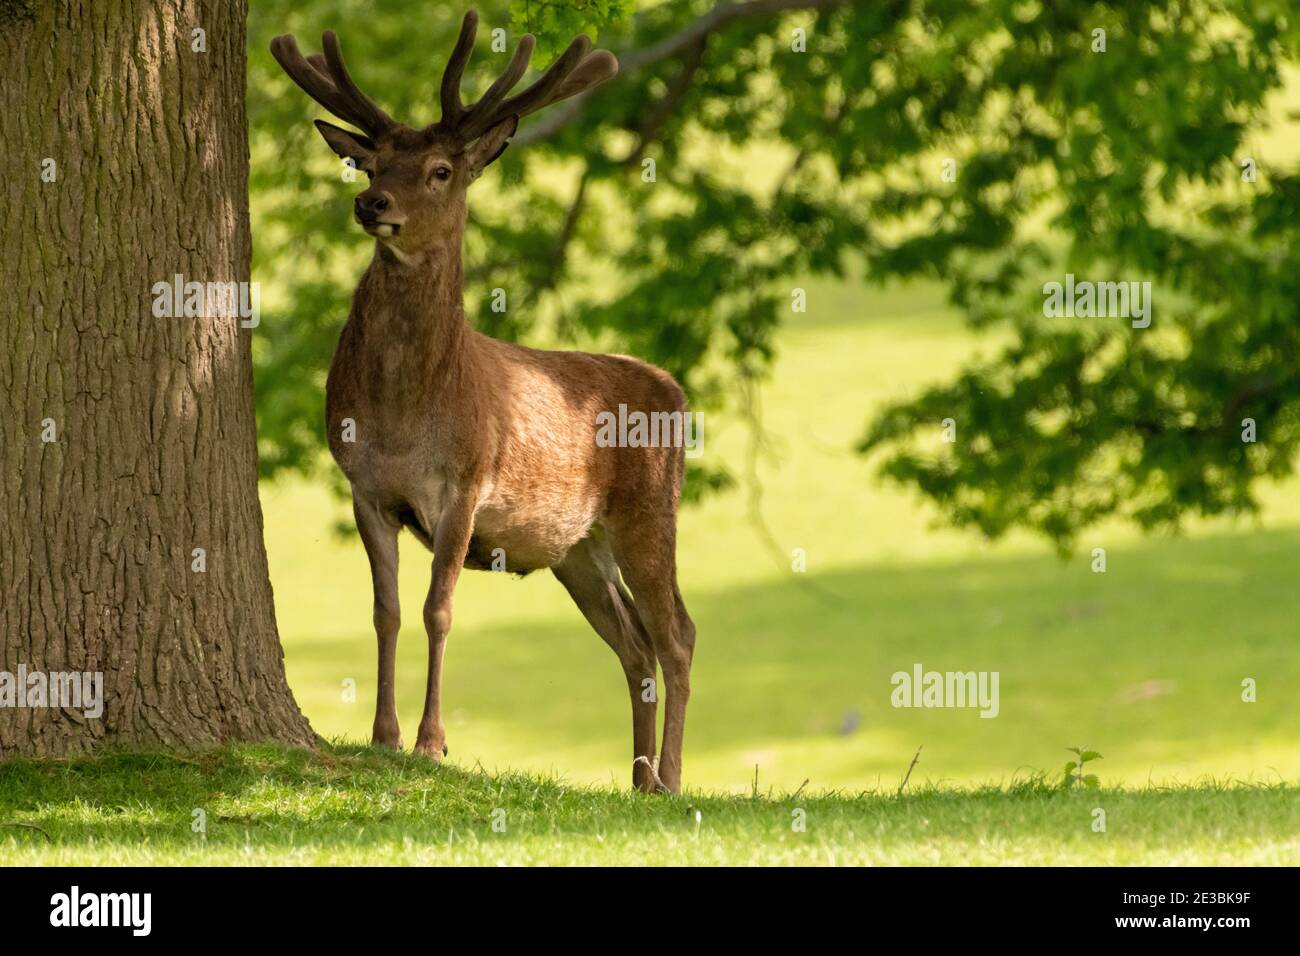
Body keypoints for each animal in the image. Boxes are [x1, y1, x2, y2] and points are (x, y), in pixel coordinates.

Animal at [270, 10, 696, 793]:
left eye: (440, 170)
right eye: (371, 164)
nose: (371, 204)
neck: (404, 414)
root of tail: (677, 391)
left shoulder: (466, 484)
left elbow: (438, 609)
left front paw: (431, 742)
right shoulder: (365, 487)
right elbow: (386, 611)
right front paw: (382, 735)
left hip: (650, 510)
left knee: (676, 631)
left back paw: (672, 779)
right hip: (577, 548)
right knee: (634, 642)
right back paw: (638, 778)